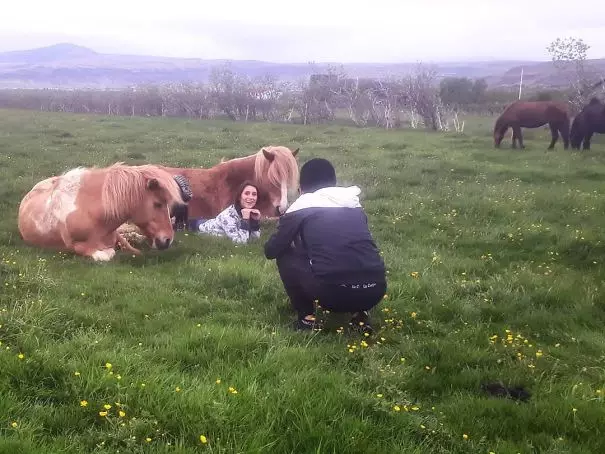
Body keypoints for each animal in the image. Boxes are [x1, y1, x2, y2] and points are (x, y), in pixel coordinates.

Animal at [17, 163, 188, 262]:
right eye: (158, 204)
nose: (168, 240)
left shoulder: (117, 236)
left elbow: (131, 248)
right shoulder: (77, 247)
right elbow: (107, 254)